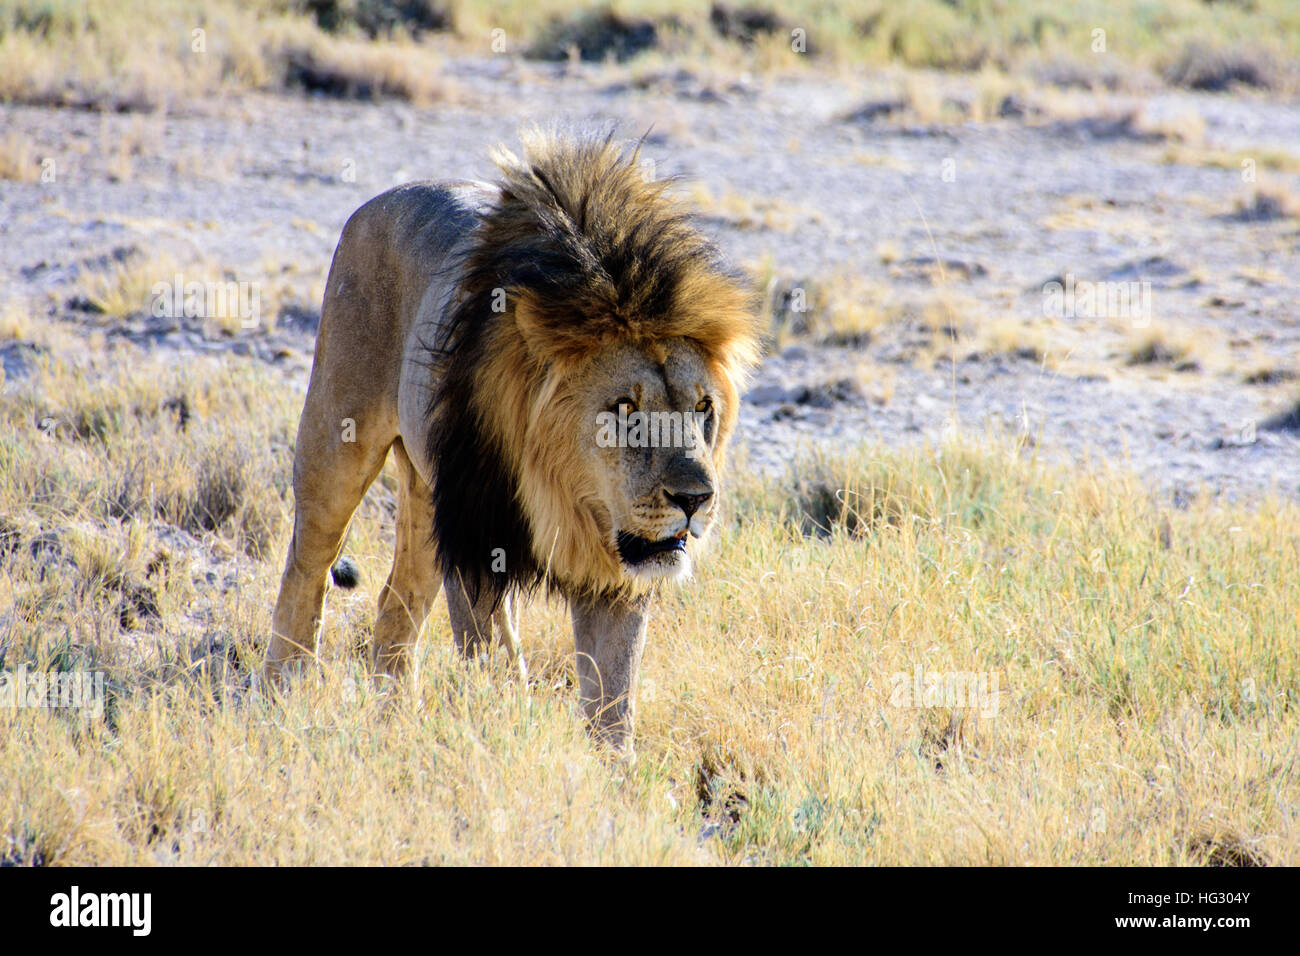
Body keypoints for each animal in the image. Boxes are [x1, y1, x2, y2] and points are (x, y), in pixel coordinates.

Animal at [265, 128, 761, 754]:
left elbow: (613, 698)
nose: (696, 500)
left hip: (427, 497)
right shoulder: (475, 538)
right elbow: (496, 661)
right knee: (306, 570)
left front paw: (611, 772)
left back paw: (393, 720)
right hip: (337, 443)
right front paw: (508, 737)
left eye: (702, 409)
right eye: (625, 408)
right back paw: (284, 693)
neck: (567, 497)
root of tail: (379, 200)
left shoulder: (616, 578)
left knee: (396, 605)